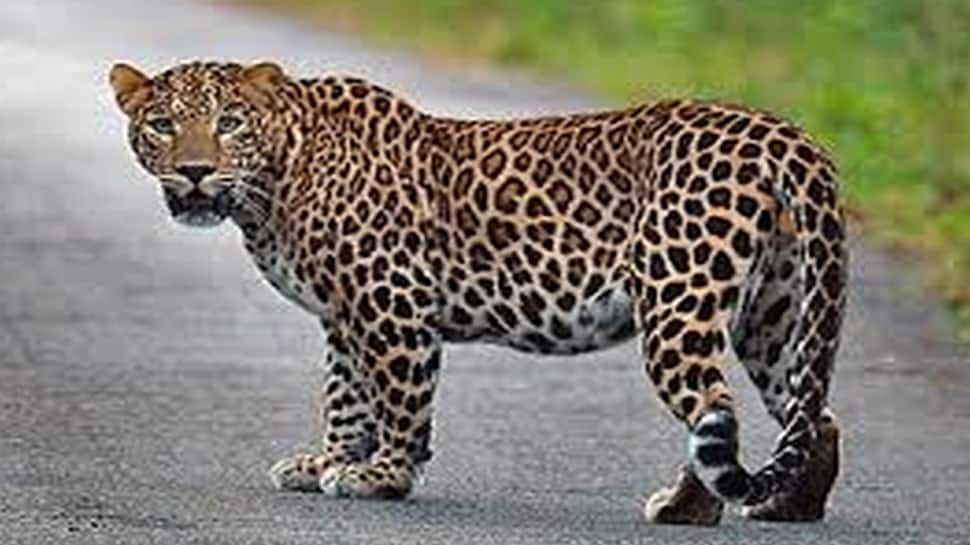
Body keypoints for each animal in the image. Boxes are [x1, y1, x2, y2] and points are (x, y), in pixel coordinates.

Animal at [109, 59, 847, 524]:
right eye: (162, 125)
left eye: (230, 122)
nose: (194, 171)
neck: (276, 178)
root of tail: (781, 132)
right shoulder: (343, 316)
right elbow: (344, 396)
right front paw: (328, 460)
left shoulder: (389, 302)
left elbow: (398, 398)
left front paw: (385, 477)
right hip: (776, 310)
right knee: (811, 414)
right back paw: (787, 508)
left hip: (678, 300)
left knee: (713, 408)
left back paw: (684, 510)